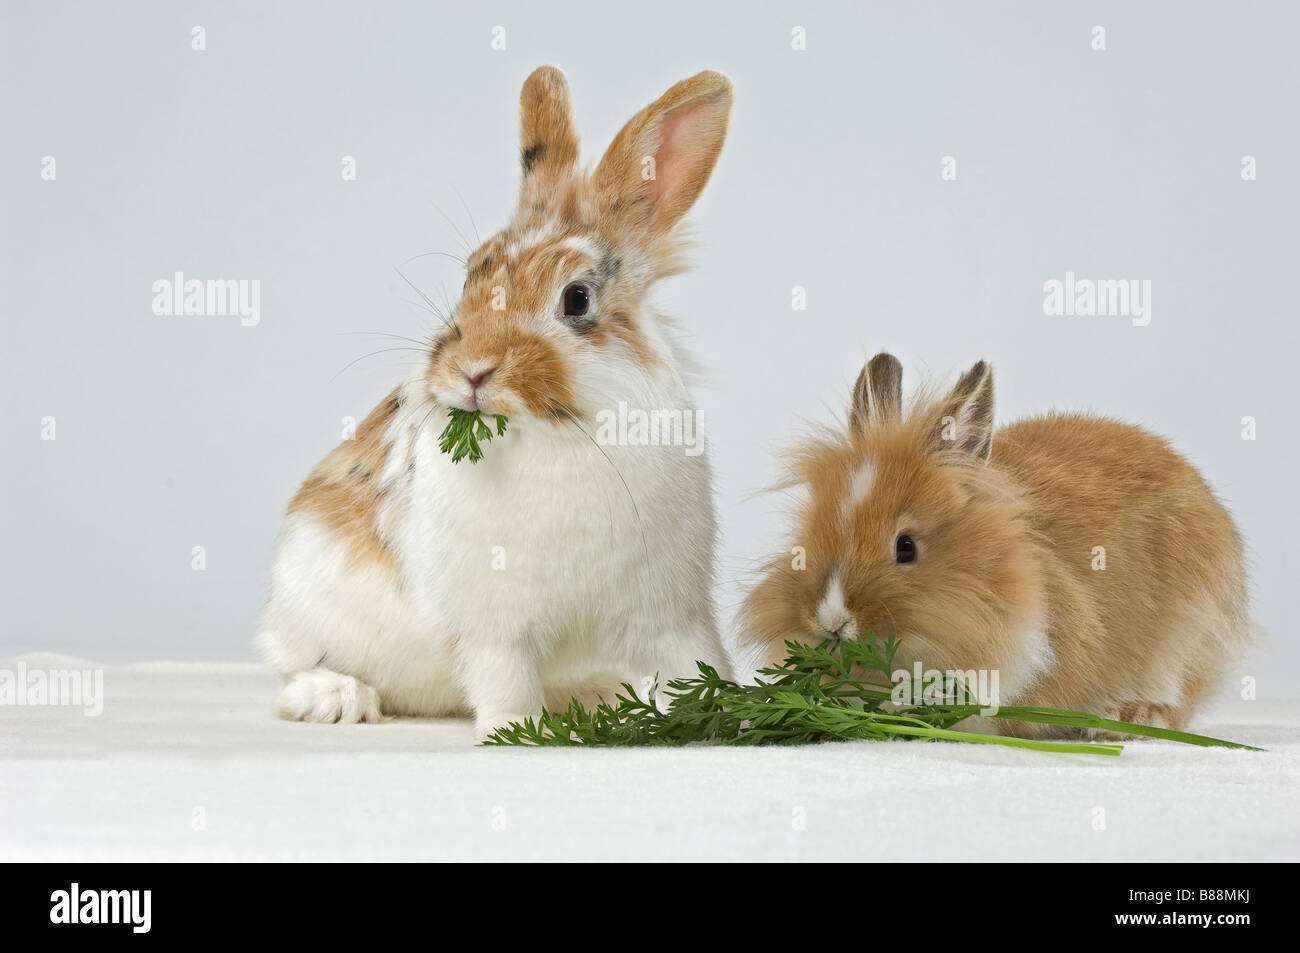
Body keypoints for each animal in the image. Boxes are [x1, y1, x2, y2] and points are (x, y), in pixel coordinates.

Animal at [255, 66, 735, 738]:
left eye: (577, 299)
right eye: (470, 275)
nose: (473, 370)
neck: (557, 433)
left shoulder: (671, 615)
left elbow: (694, 663)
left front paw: (722, 715)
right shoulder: (493, 628)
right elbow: (503, 675)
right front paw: (518, 732)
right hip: (304, 597)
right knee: (287, 671)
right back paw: (340, 699)